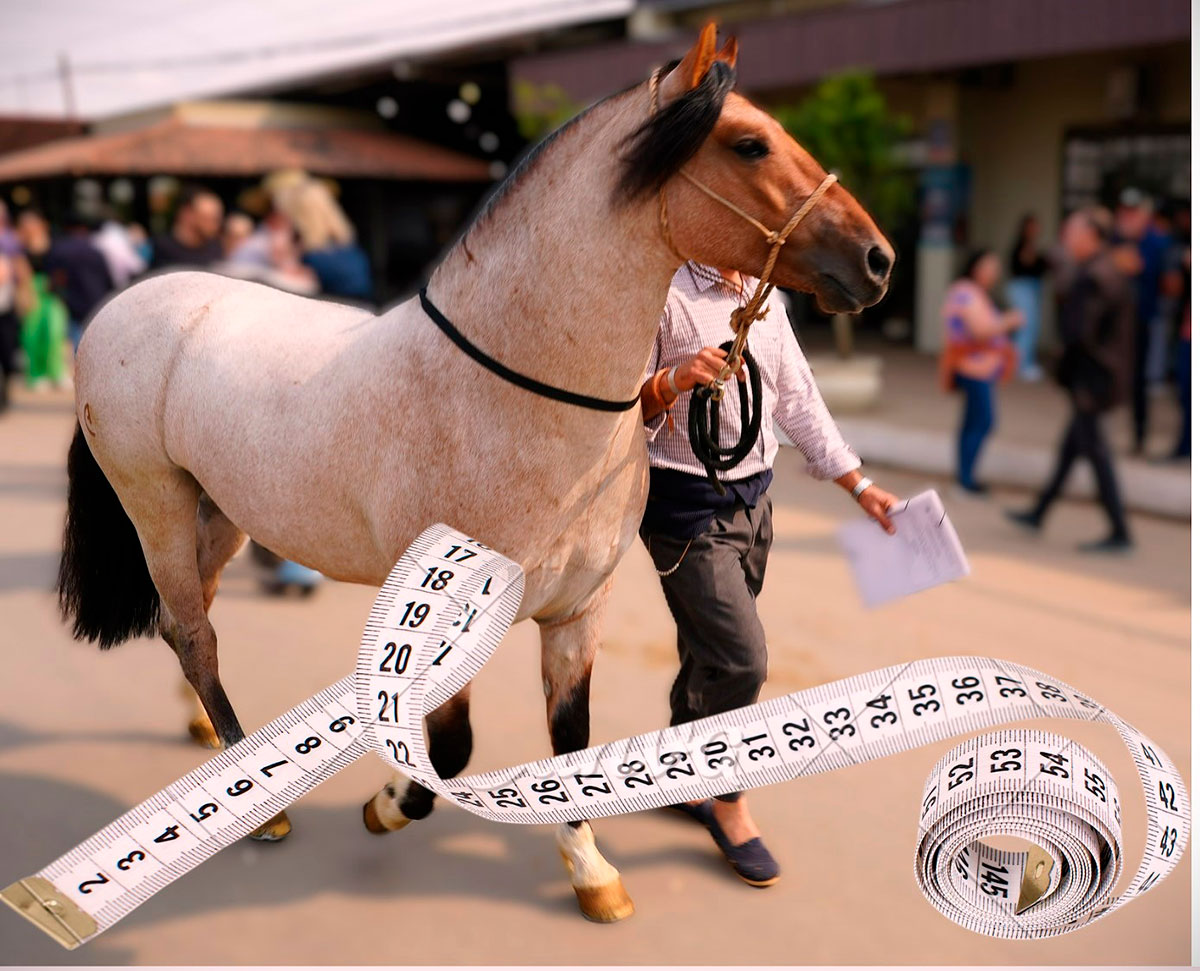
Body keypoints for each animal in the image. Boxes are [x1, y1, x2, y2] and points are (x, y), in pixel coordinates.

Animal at [56, 23, 892, 923]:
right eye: (749, 144)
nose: (878, 259)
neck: (512, 394)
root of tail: (122, 309)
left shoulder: (578, 611)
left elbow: (570, 738)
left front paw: (591, 871)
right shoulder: (448, 616)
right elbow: (450, 751)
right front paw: (386, 805)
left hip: (220, 512)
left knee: (186, 623)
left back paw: (214, 742)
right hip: (156, 506)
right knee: (194, 633)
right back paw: (259, 803)